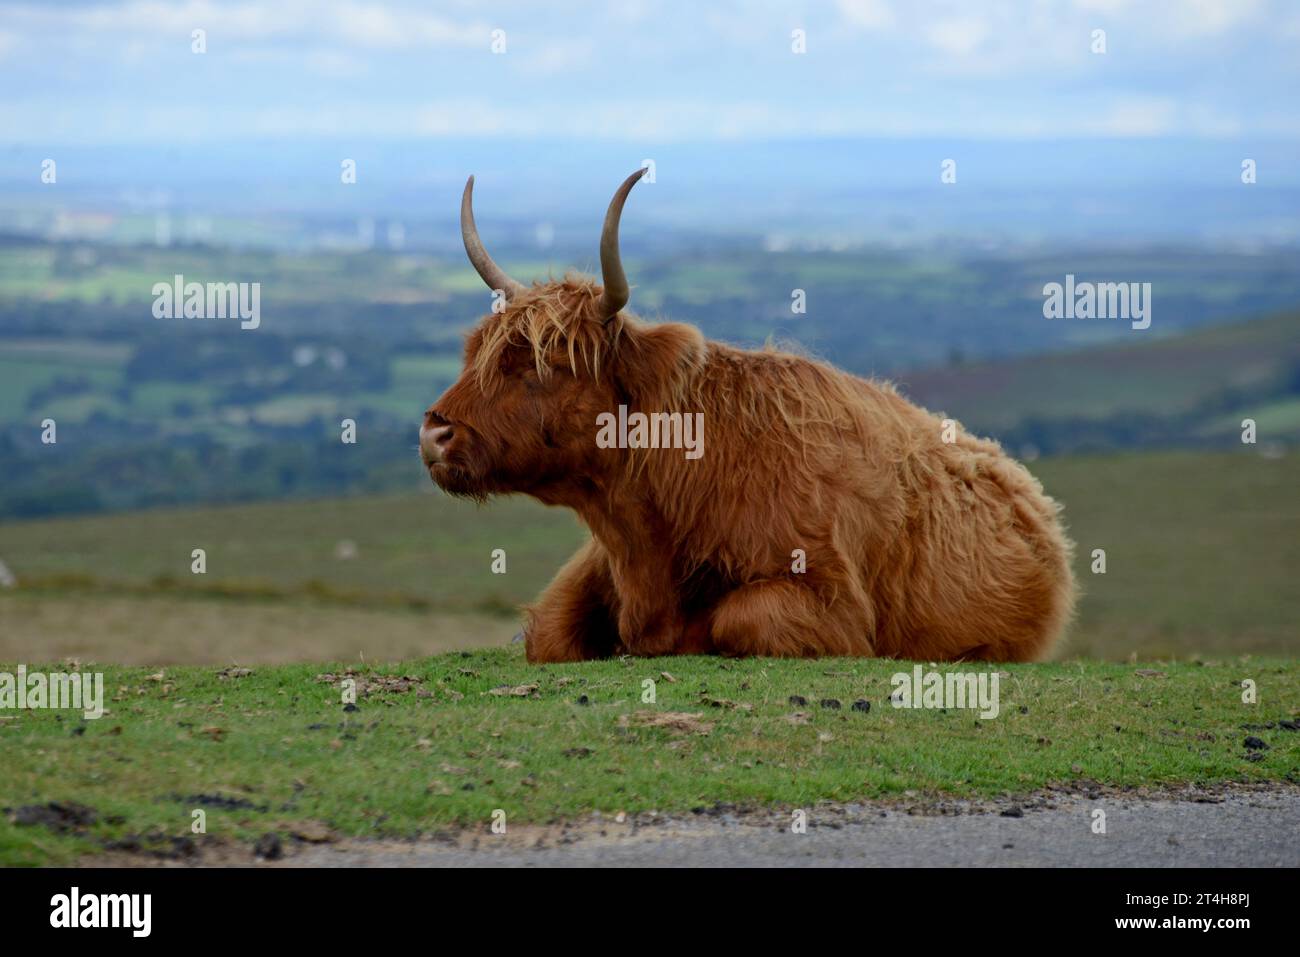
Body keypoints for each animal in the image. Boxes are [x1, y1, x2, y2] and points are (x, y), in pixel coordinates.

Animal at [421, 169, 1077, 663]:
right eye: (476, 352)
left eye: (549, 363)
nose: (435, 432)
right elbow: (549, 633)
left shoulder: (832, 601)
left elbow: (739, 619)